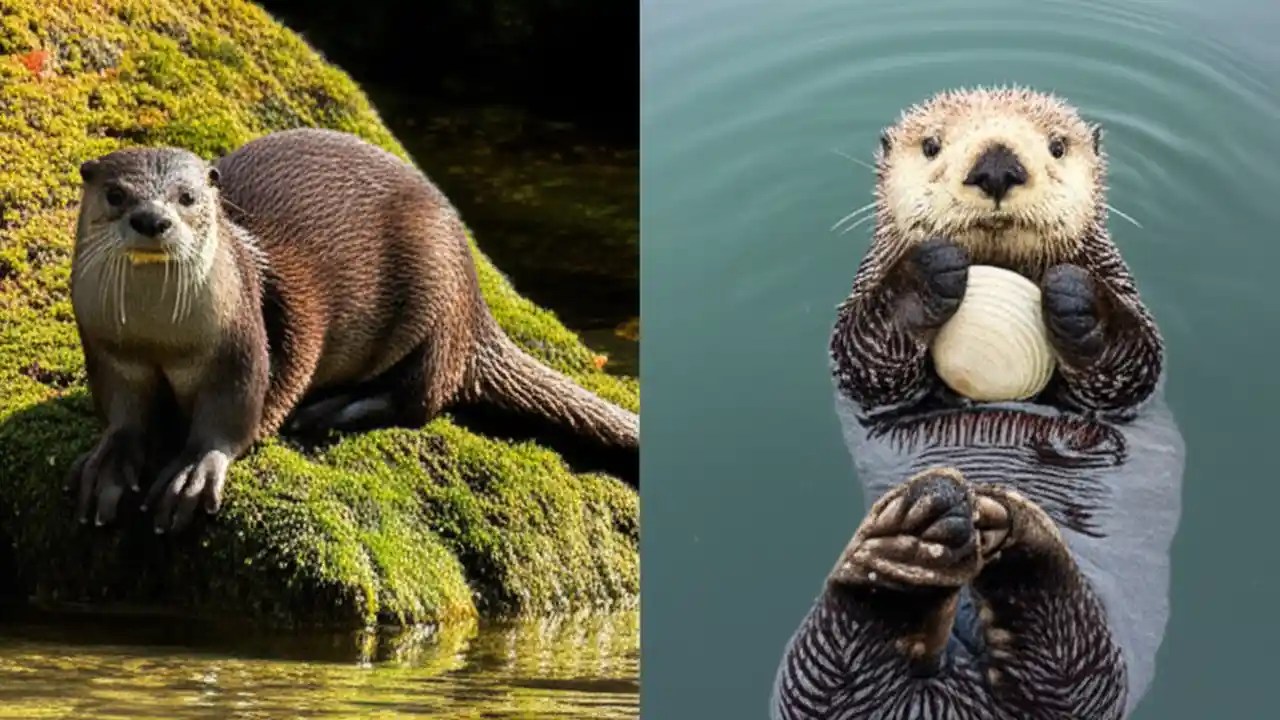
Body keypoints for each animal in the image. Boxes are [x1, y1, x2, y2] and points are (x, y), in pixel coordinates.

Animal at [67, 128, 639, 534]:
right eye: (116, 194)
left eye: (186, 196)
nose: (152, 219)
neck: (161, 336)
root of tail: (475, 293)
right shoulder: (108, 352)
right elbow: (122, 415)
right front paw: (109, 464)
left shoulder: (241, 348)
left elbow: (230, 419)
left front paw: (193, 471)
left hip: (436, 302)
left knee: (422, 394)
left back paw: (334, 410)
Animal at [771, 87, 1183, 719]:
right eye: (932, 145)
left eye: (1056, 146)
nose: (996, 166)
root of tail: (955, 700)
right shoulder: (860, 351)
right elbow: (864, 361)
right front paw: (927, 271)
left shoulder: (1130, 345)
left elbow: (1135, 366)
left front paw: (1074, 291)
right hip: (816, 683)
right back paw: (912, 548)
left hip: (1103, 667)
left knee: (1064, 668)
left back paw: (1001, 534)